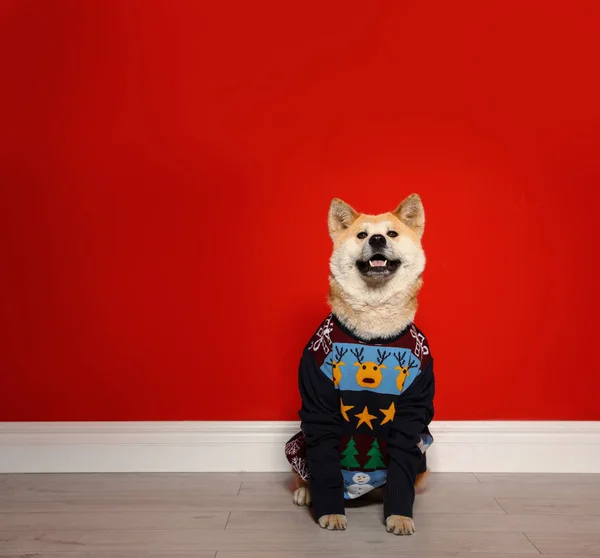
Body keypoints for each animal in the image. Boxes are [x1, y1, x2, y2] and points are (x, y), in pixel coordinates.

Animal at [286, 195, 436, 536]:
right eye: (361, 235)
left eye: (391, 233)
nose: (377, 239)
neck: (373, 333)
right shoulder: (318, 406)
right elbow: (324, 464)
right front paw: (329, 510)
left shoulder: (412, 413)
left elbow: (402, 469)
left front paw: (399, 514)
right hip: (298, 439)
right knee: (303, 471)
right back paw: (305, 492)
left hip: (423, 445)